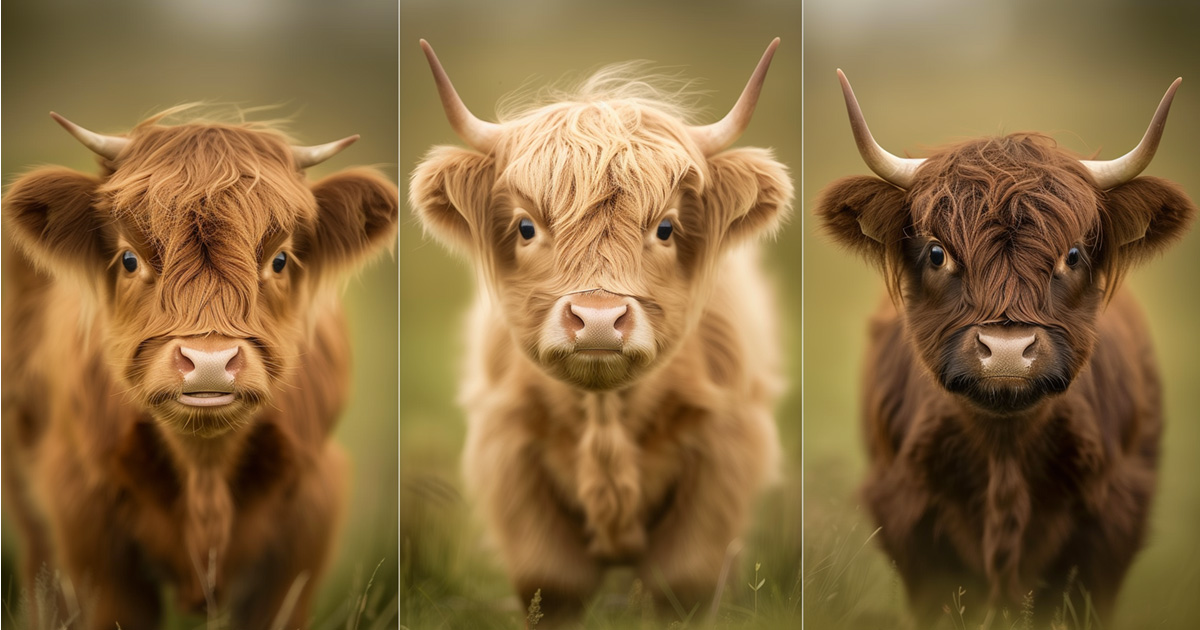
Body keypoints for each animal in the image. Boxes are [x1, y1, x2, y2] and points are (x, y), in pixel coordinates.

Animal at [409, 40, 792, 625]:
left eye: (666, 227)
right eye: (526, 227)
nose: (597, 320)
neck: (605, 414)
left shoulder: (725, 448)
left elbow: (684, 580)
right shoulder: (509, 449)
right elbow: (551, 582)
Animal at [815, 71, 1195, 627]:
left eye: (1073, 254)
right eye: (937, 252)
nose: (1009, 350)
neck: (1004, 452)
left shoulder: (1108, 529)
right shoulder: (911, 525)